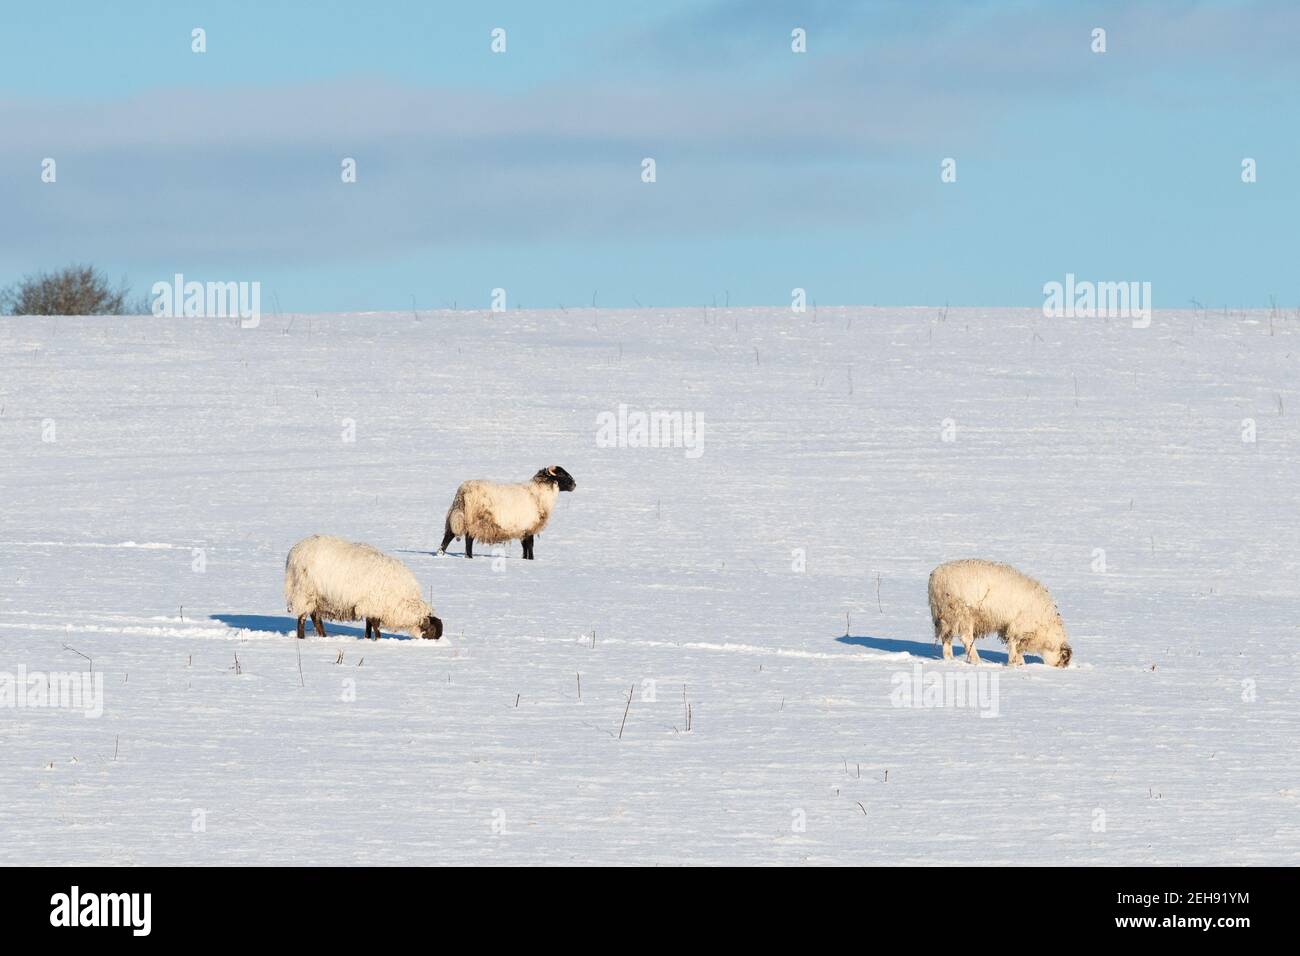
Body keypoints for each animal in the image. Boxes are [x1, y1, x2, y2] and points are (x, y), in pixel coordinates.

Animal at [284, 535, 443, 641]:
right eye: (431, 630)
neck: (401, 600)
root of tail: (294, 552)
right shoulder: (373, 604)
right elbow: (375, 625)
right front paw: (378, 640)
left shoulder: (370, 605)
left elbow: (368, 625)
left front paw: (367, 638)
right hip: (304, 591)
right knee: (302, 618)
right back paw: (302, 638)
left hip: (317, 597)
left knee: (315, 618)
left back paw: (324, 636)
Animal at [437, 466, 576, 559]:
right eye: (561, 474)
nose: (574, 484)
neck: (540, 492)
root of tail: (462, 492)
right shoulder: (529, 526)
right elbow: (530, 545)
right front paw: (531, 559)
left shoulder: (523, 528)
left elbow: (524, 546)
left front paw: (524, 558)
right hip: (474, 520)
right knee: (468, 539)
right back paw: (469, 557)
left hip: (459, 517)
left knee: (448, 535)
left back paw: (440, 553)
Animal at [928, 559, 1072, 667]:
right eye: (1063, 659)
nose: (1061, 668)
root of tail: (936, 578)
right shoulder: (1018, 626)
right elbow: (1015, 644)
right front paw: (1015, 663)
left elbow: (1018, 646)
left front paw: (1020, 662)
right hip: (963, 613)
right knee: (966, 638)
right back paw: (976, 660)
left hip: (946, 615)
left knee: (946, 637)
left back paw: (949, 659)